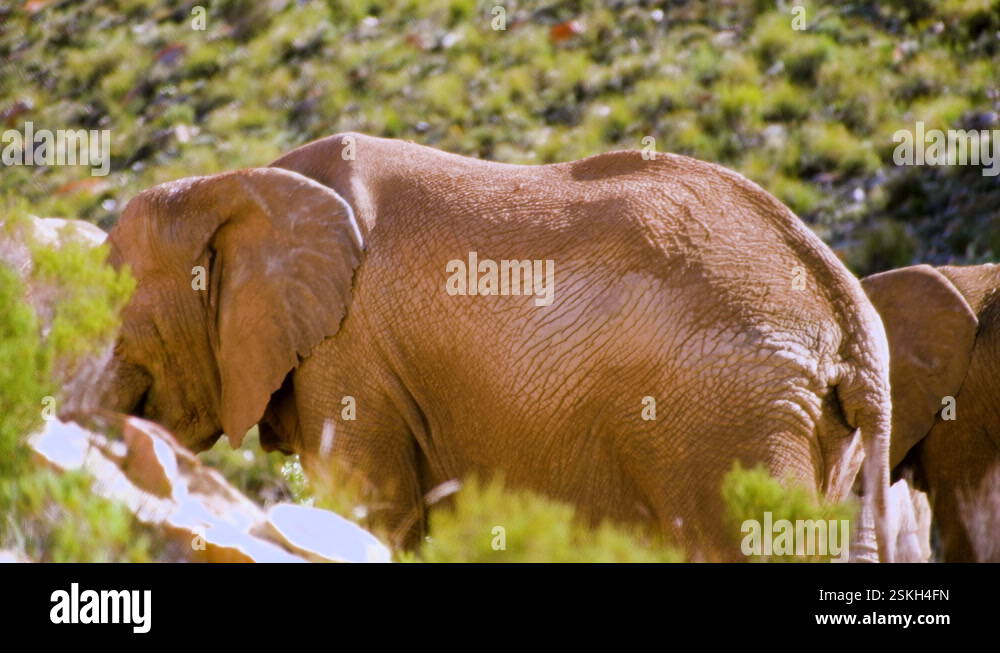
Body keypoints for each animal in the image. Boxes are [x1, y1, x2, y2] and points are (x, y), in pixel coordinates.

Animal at [98, 132, 895, 560]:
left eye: (118, 309)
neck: (236, 183)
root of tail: (853, 321)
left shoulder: (349, 357)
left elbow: (372, 514)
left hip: (730, 420)